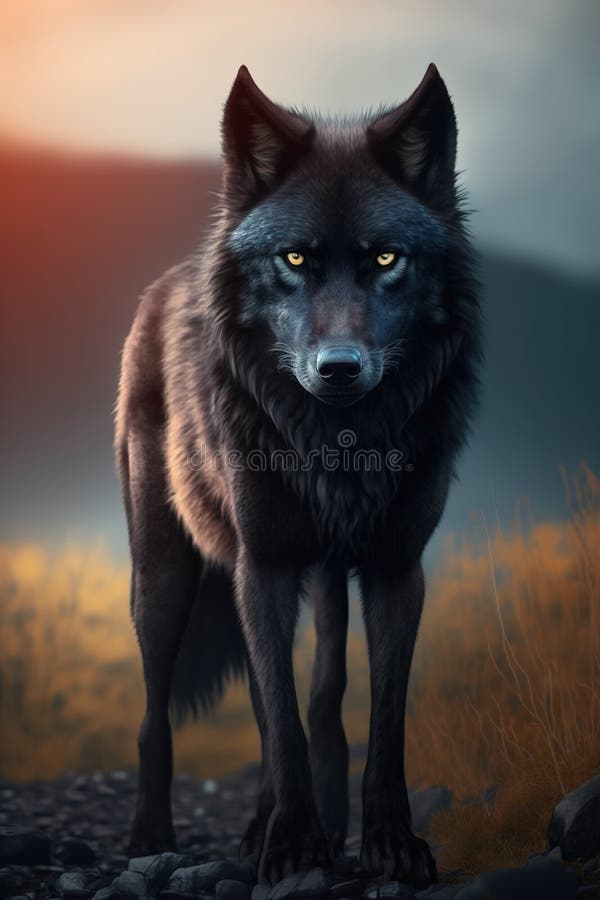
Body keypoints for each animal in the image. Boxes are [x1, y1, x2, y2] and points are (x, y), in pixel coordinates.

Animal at [114, 63, 482, 888]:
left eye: (386, 260)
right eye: (295, 260)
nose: (338, 369)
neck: (338, 447)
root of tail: (162, 286)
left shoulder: (392, 568)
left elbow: (375, 717)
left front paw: (386, 843)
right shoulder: (268, 562)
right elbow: (279, 721)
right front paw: (289, 847)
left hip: (315, 575)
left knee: (313, 698)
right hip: (166, 577)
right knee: (159, 714)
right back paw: (152, 837)